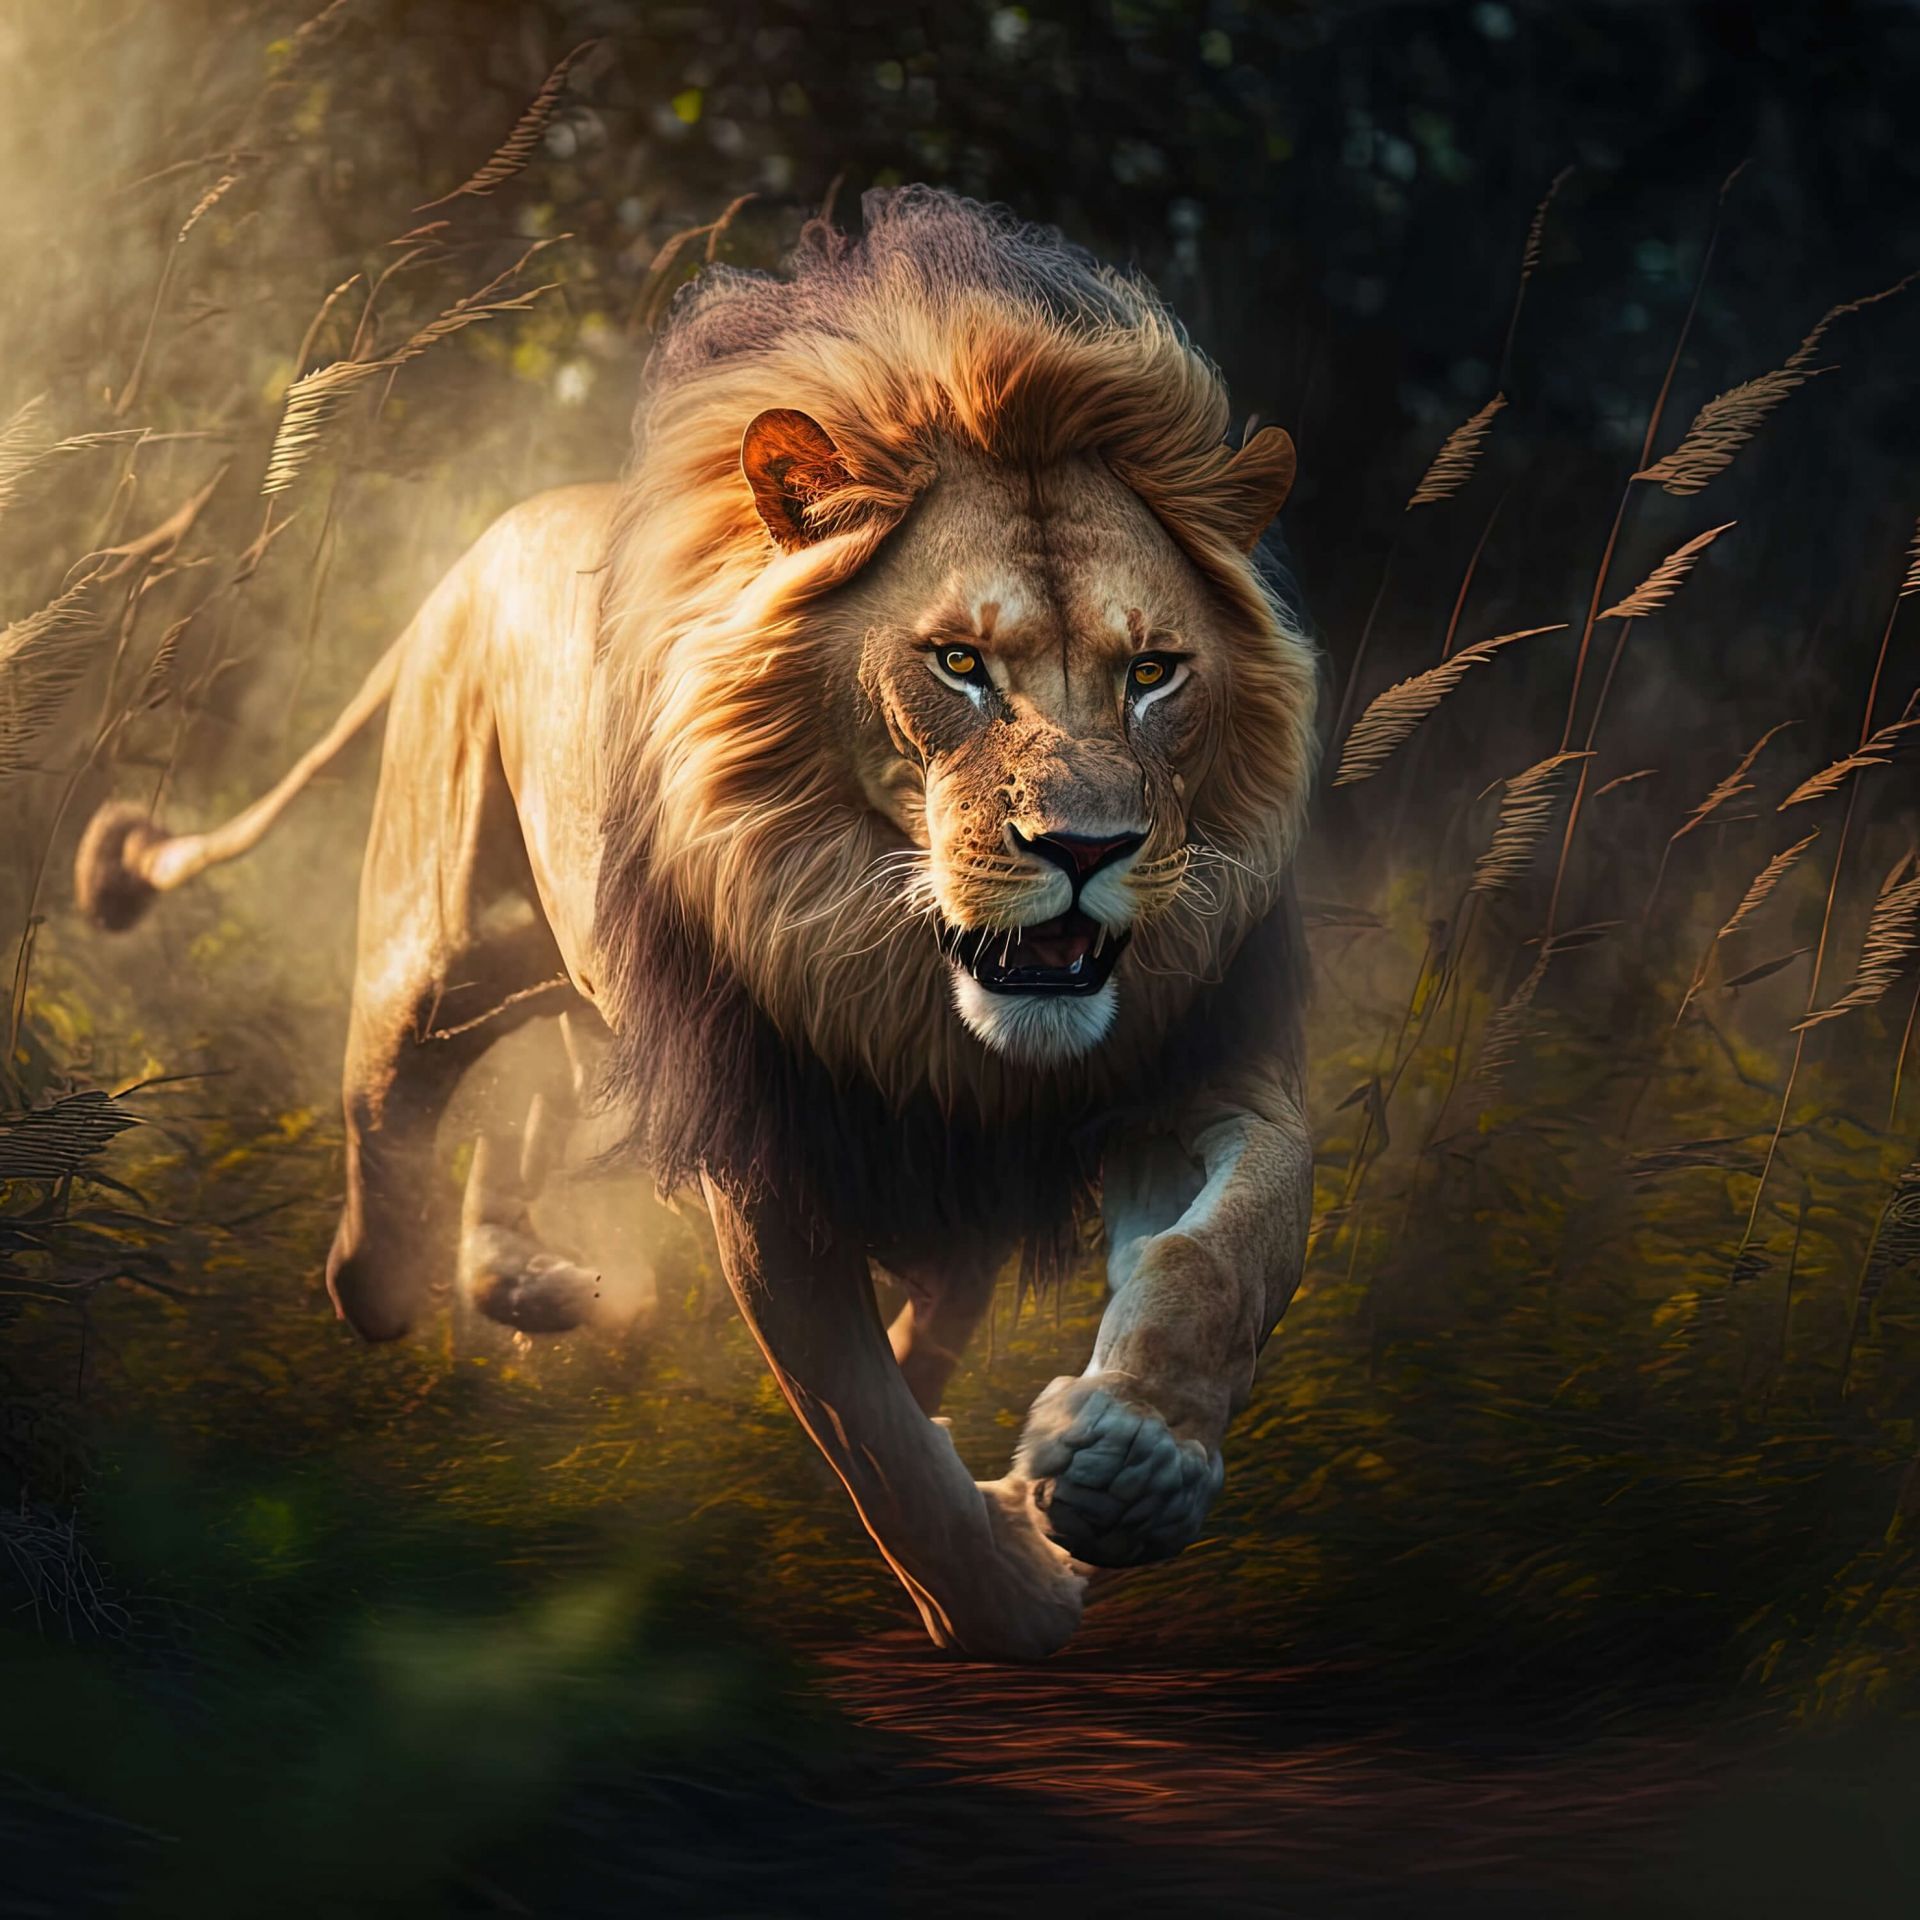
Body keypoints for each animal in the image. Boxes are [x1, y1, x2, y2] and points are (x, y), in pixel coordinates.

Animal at [75, 188, 1317, 1660]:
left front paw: (1131, 1462)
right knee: (387, 1090)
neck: (909, 990)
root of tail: (482, 545)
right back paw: (385, 1282)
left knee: (547, 1130)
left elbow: (1224, 1251)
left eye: (1153, 672)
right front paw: (1011, 1587)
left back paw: (542, 1285)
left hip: (583, 988)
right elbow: (876, 1436)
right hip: (456, 933)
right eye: (958, 663)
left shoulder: (1186, 1073)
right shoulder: (767, 1174)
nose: (1086, 850)